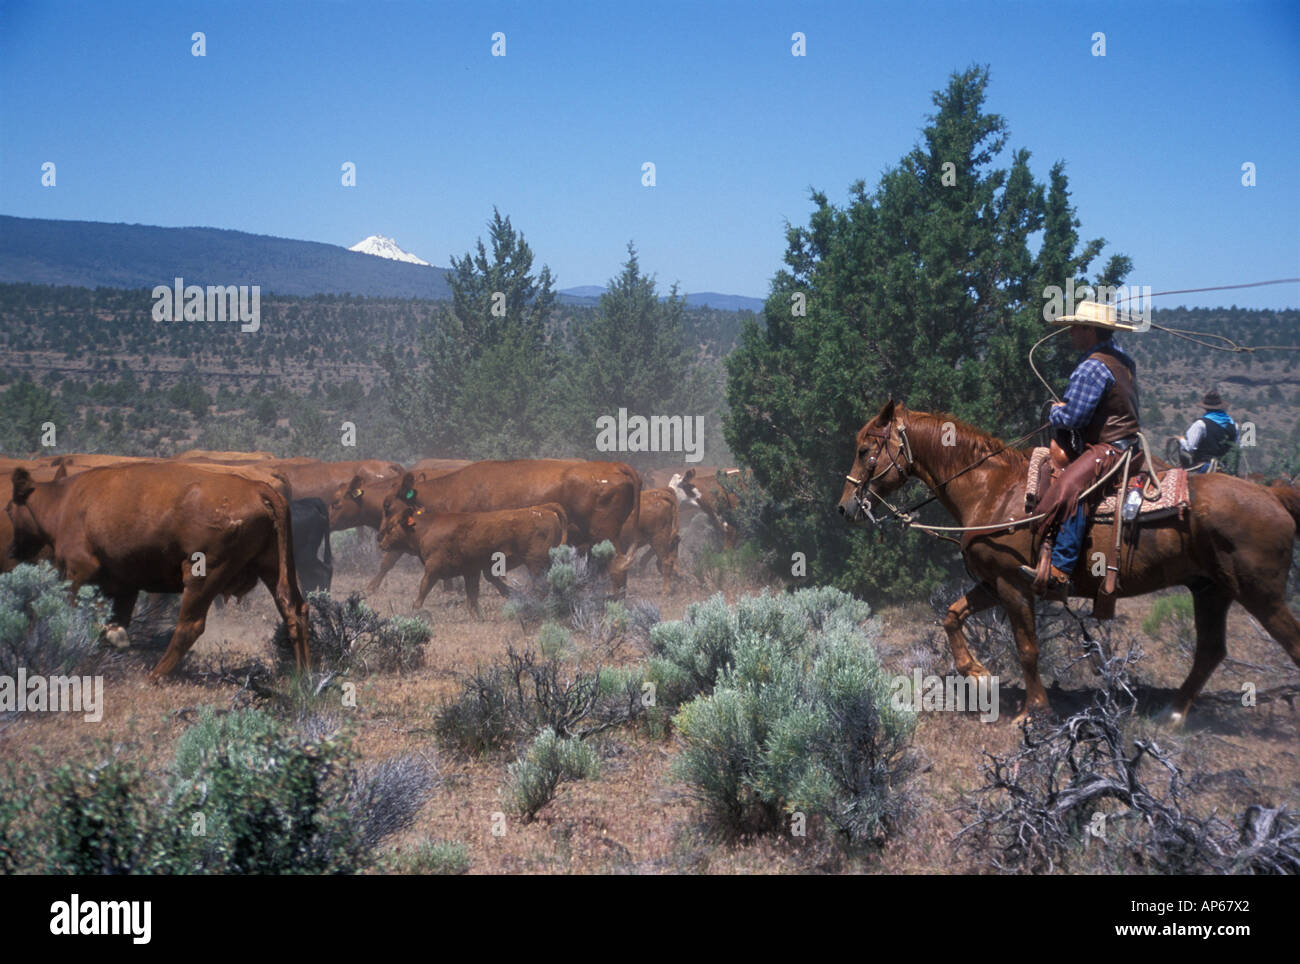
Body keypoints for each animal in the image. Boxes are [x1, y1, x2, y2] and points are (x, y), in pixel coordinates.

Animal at [5, 463, 309, 680]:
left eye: (8, 509)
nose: (12, 550)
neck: (64, 500)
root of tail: (257, 488)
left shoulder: (78, 572)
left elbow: (75, 613)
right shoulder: (124, 586)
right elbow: (116, 619)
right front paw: (115, 642)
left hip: (202, 574)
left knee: (190, 625)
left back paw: (155, 675)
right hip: (272, 567)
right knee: (294, 609)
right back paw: (303, 674)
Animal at [378, 460, 642, 592]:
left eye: (388, 505)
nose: (380, 534)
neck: (454, 488)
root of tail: (616, 467)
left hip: (604, 536)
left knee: (617, 568)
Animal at [378, 501, 567, 616]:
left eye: (391, 527)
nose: (381, 543)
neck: (427, 527)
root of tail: (543, 509)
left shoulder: (433, 569)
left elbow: (423, 588)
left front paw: (415, 609)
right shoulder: (471, 572)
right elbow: (472, 597)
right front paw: (477, 616)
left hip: (536, 564)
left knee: (541, 587)